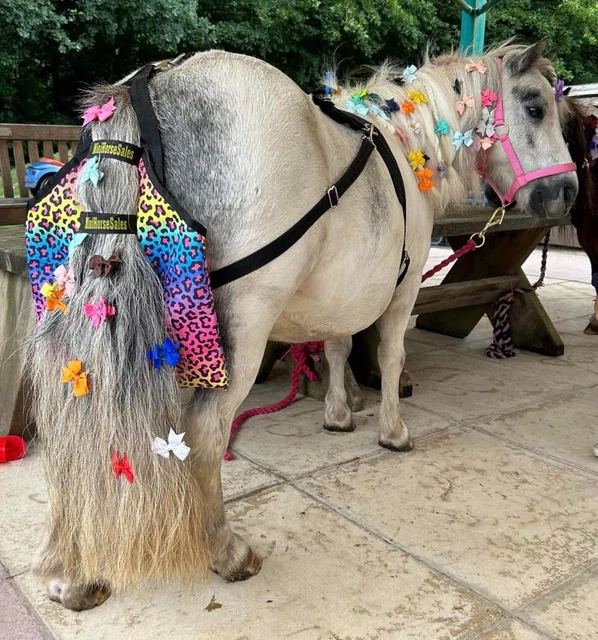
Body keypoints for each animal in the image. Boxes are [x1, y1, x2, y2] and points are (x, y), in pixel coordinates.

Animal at [27, 40, 577, 610]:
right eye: (535, 106)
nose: (566, 193)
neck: (409, 144)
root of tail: (149, 88)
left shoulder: (344, 293)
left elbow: (335, 347)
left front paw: (338, 413)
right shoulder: (401, 291)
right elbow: (390, 356)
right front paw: (392, 431)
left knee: (75, 428)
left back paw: (74, 570)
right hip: (240, 330)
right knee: (204, 432)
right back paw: (225, 551)